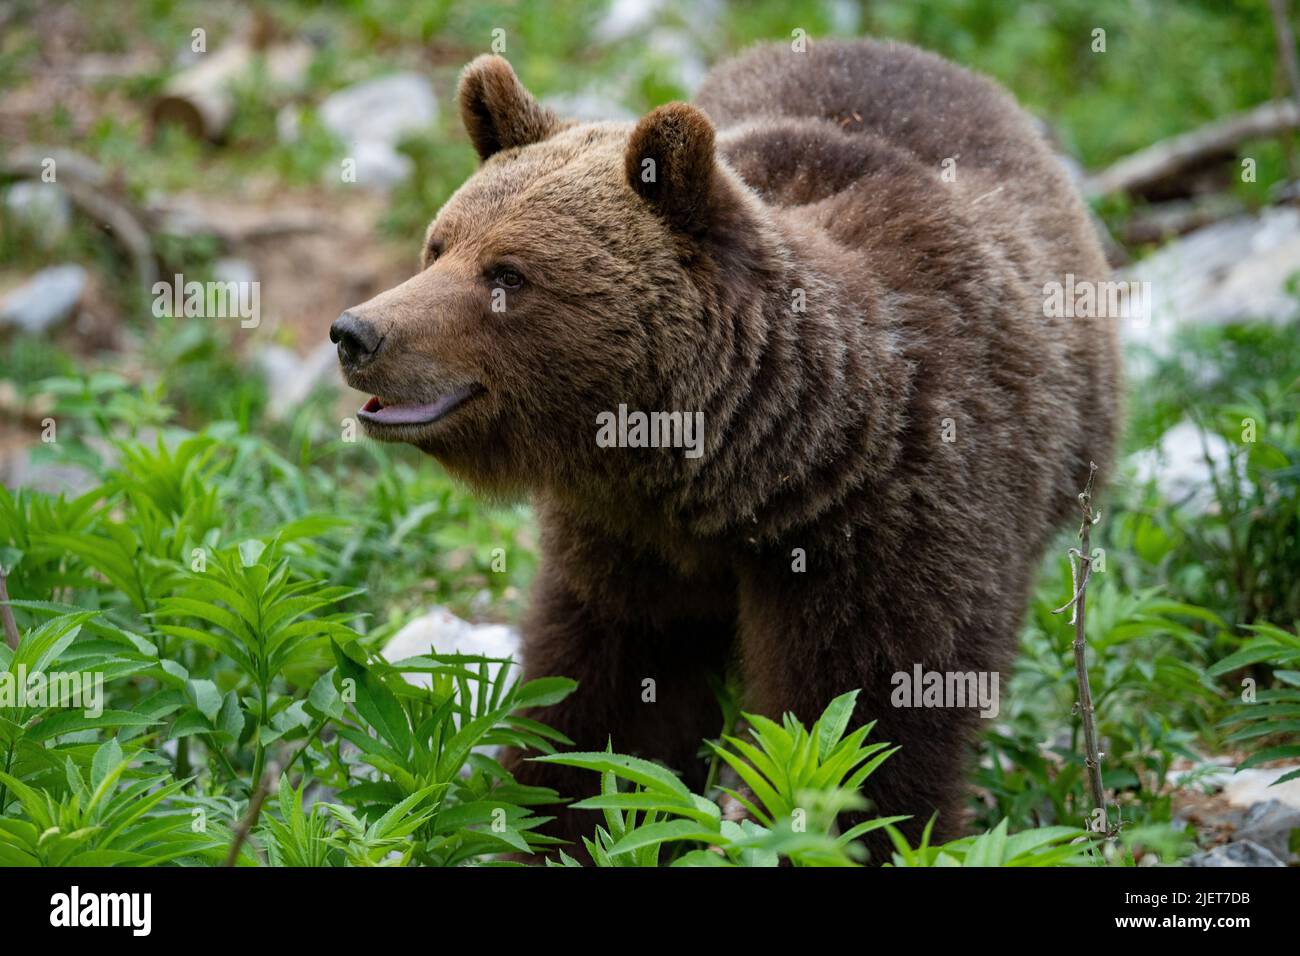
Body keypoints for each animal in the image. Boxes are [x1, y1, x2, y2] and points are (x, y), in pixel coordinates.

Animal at [331, 38, 1122, 861]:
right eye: (439, 244)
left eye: (508, 274)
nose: (357, 332)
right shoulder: (624, 543)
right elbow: (610, 700)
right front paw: (565, 822)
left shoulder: (897, 527)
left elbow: (869, 717)